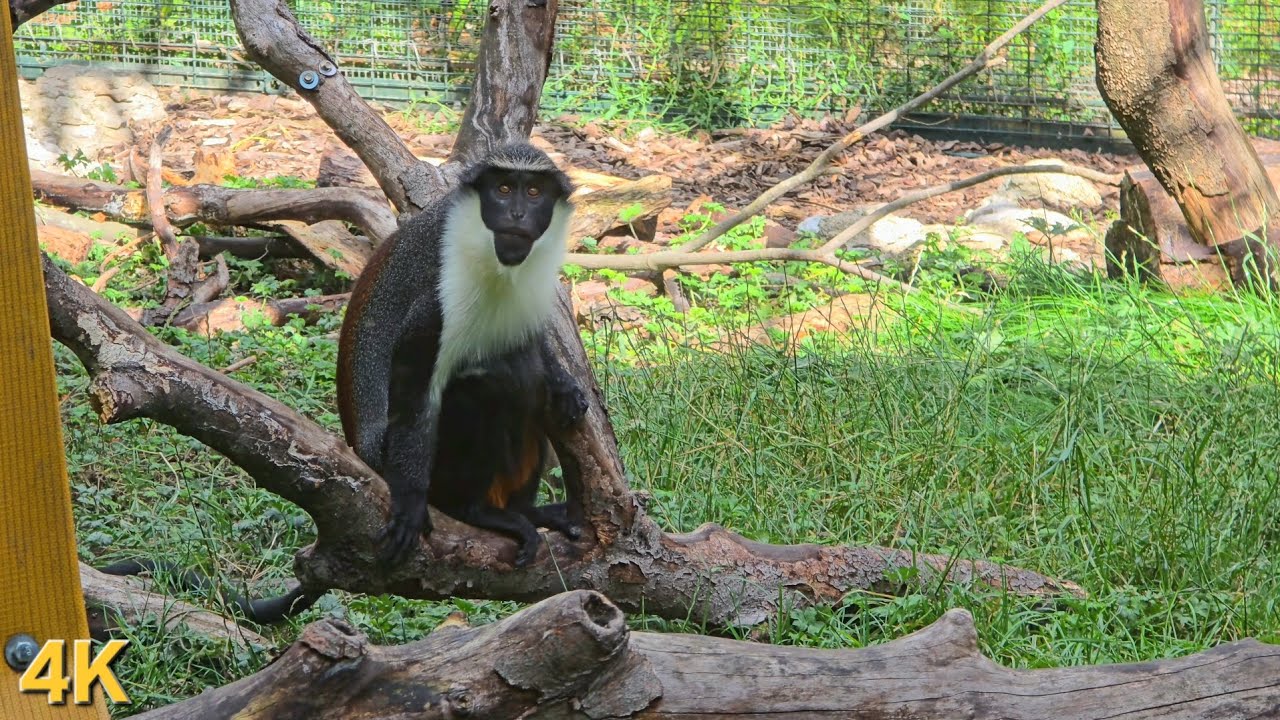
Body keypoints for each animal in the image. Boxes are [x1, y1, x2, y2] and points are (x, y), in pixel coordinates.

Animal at [336, 141, 588, 567]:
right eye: (502, 189)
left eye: (533, 192)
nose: (517, 214)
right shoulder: (433, 305)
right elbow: (417, 396)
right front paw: (410, 505)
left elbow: (535, 344)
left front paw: (565, 384)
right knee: (487, 386)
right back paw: (474, 510)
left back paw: (526, 511)